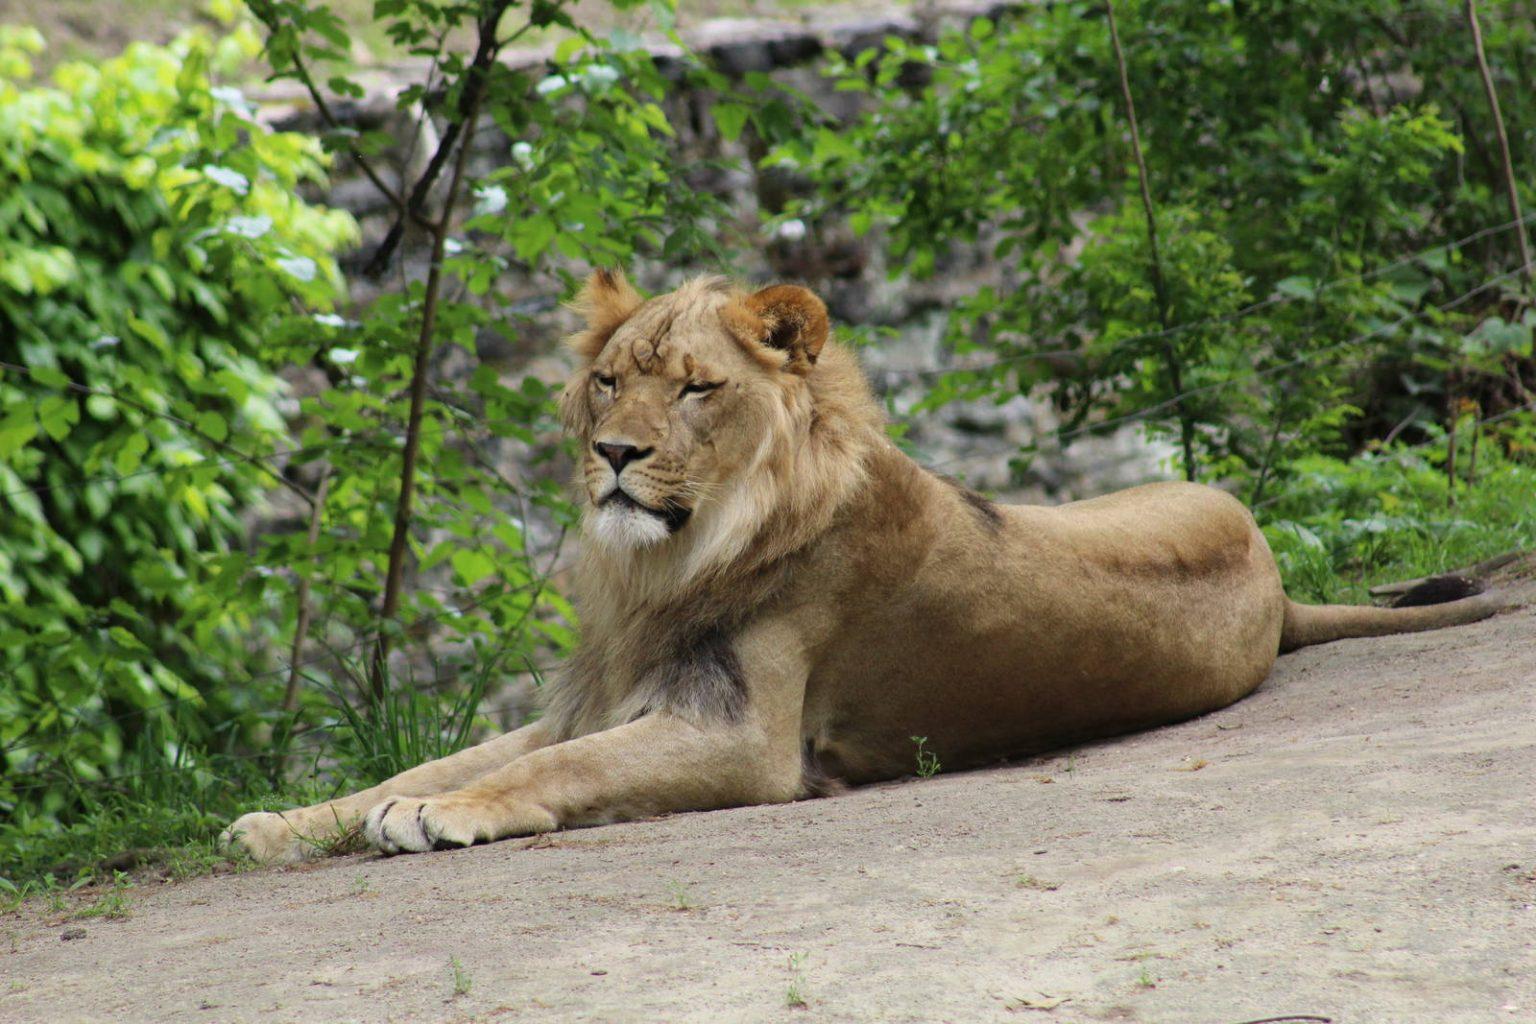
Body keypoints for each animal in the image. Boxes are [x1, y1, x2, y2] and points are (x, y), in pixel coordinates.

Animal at [223, 271, 1502, 862]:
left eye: (696, 387)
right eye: (607, 379)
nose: (614, 455)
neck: (664, 567)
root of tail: (1276, 583)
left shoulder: (743, 736)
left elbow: (549, 770)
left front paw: (441, 816)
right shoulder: (603, 695)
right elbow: (434, 760)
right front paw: (283, 823)